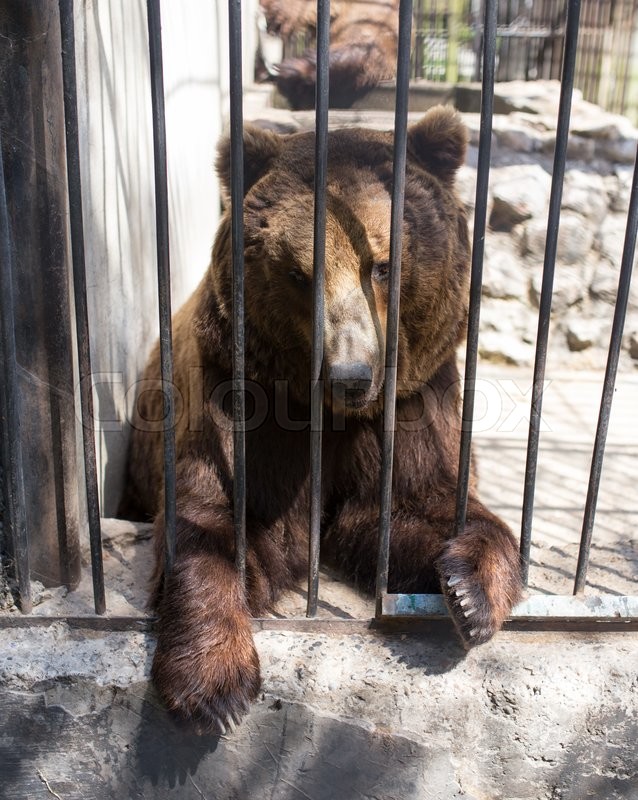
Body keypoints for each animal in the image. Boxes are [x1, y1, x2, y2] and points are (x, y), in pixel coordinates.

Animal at [122, 106, 523, 735]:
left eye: (382, 265)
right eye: (299, 272)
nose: (349, 374)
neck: (329, 415)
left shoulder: (410, 404)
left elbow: (409, 506)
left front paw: (467, 590)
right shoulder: (243, 405)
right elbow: (213, 521)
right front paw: (215, 684)